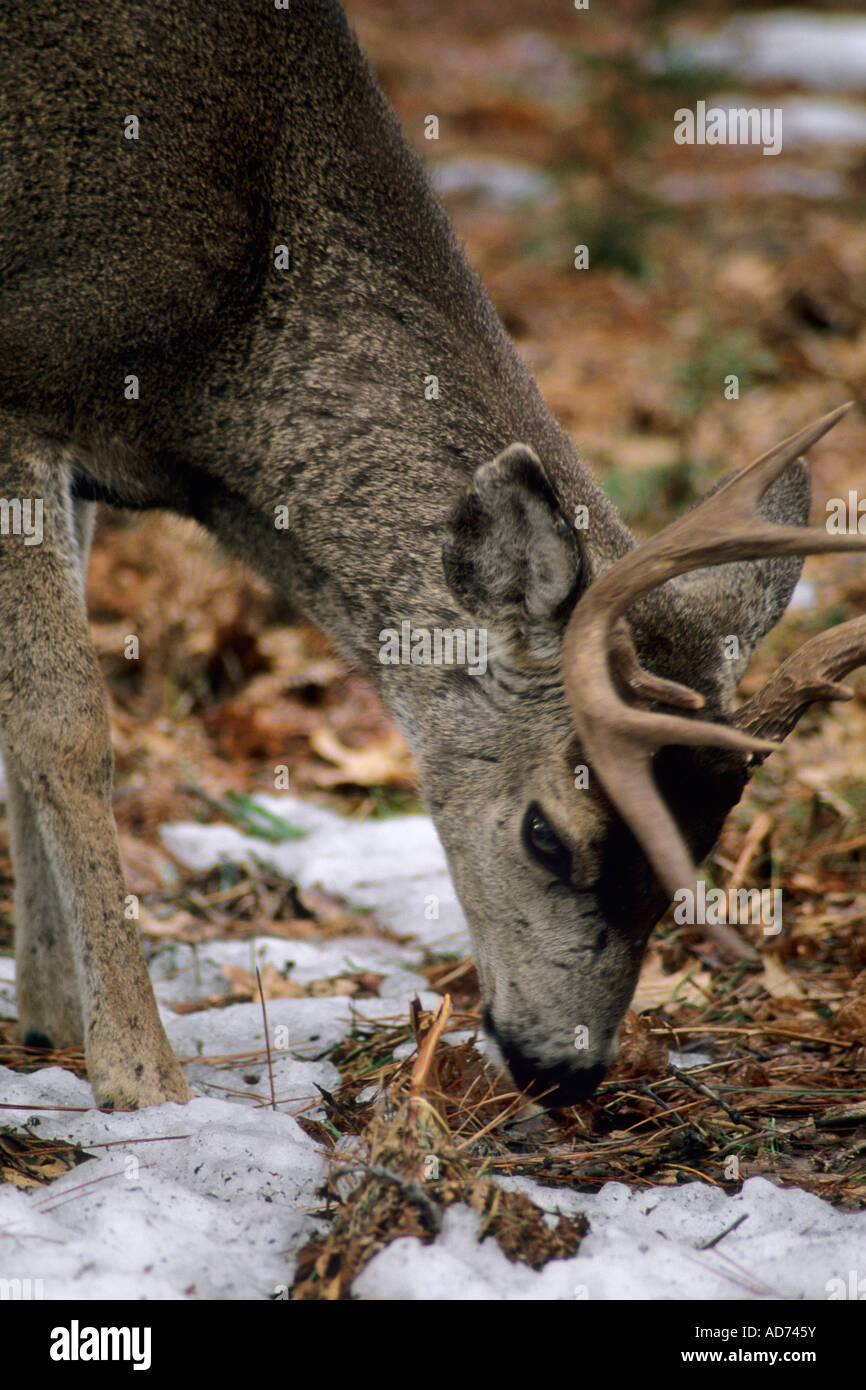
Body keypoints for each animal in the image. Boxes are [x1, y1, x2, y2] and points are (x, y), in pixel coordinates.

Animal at [1, 0, 864, 1111]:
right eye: (546, 834)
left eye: (701, 842)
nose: (566, 1071)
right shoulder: (19, 385)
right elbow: (64, 723)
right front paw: (137, 1070)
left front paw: (48, 1016)